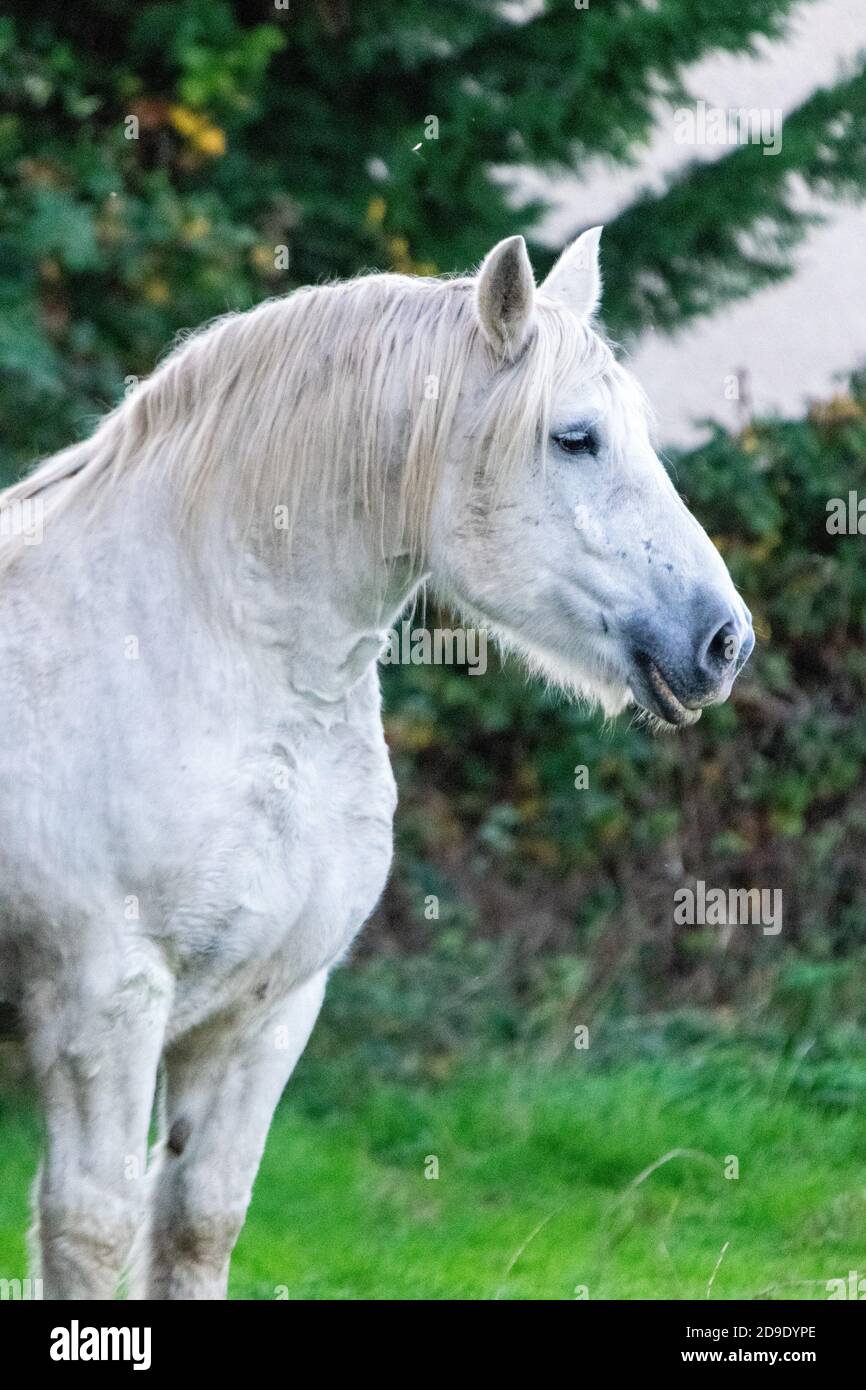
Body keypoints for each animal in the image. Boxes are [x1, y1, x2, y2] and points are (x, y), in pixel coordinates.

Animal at [0, 228, 754, 1299]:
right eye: (575, 438)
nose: (726, 642)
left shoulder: (268, 1010)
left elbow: (196, 1223)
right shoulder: (101, 1001)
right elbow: (93, 1229)